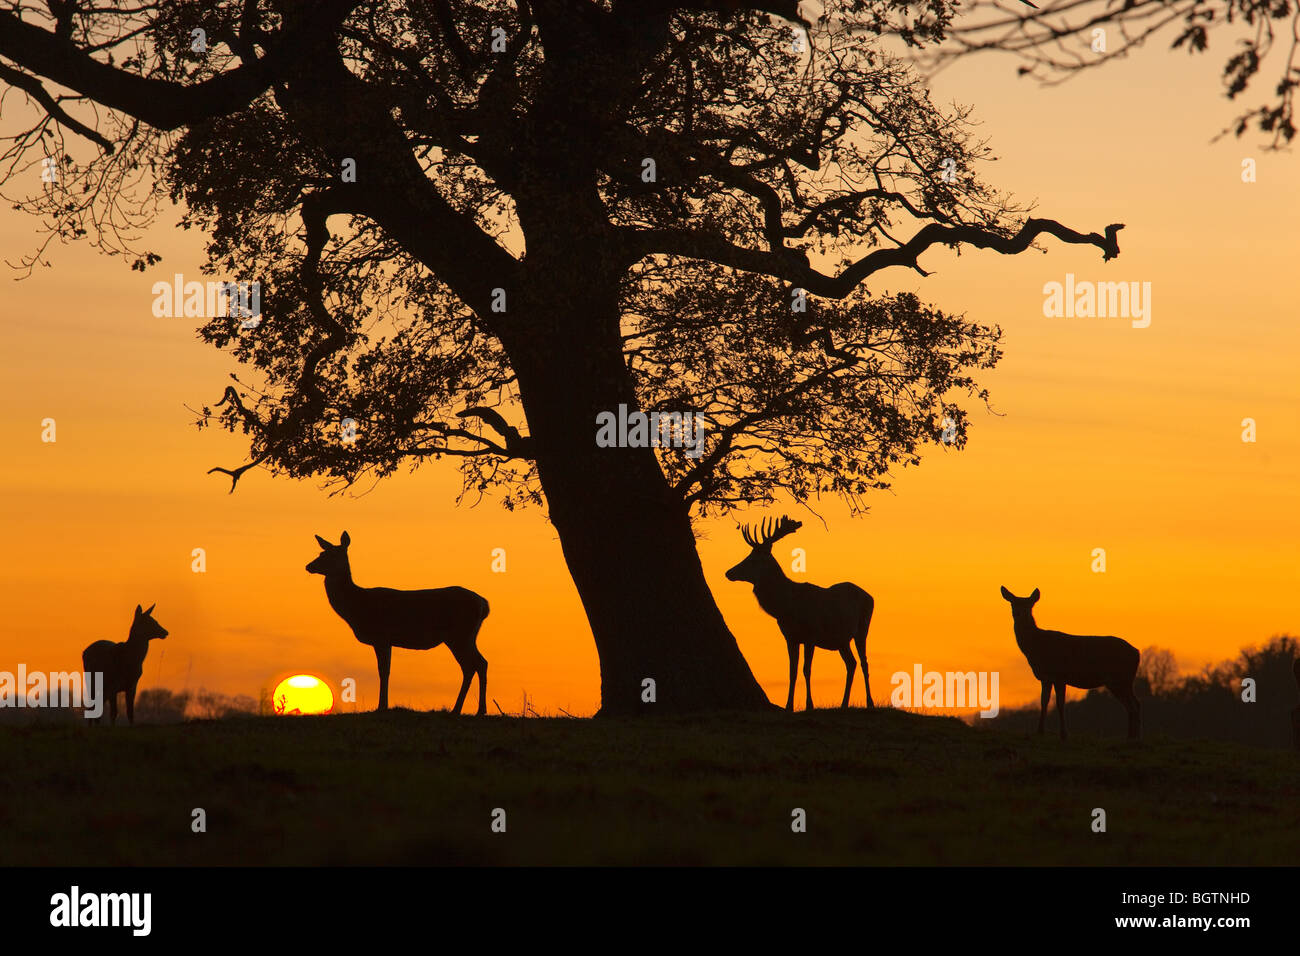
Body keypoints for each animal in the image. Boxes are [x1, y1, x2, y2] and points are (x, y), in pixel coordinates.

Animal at [306, 532, 490, 715]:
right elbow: (385, 670)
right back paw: (468, 709)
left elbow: (383, 670)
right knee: (478, 664)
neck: (358, 606)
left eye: (332, 554)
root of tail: (484, 604)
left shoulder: (381, 637)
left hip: (460, 635)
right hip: (465, 636)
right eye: (321, 553)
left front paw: (382, 706)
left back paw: (470, 709)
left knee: (474, 664)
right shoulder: (387, 640)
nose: (309, 566)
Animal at [726, 516, 874, 711]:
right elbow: (792, 671)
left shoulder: (811, 634)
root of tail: (871, 597)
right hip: (841, 640)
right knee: (851, 663)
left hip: (862, 629)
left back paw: (870, 703)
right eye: (748, 555)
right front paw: (788, 705)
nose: (728, 572)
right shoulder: (790, 637)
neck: (787, 608)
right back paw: (844, 704)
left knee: (864, 662)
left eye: (753, 559)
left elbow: (806, 669)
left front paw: (809, 705)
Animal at [1000, 587, 1141, 740]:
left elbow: (1060, 704)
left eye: (1029, 605)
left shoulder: (1060, 675)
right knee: (1136, 703)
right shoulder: (1046, 678)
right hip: (1124, 681)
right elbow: (1044, 702)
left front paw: (1064, 734)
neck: (1037, 646)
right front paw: (1040, 731)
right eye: (1013, 603)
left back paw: (1132, 737)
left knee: (1132, 705)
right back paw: (1134, 737)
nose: (1018, 613)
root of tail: (1137, 653)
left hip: (1119, 679)